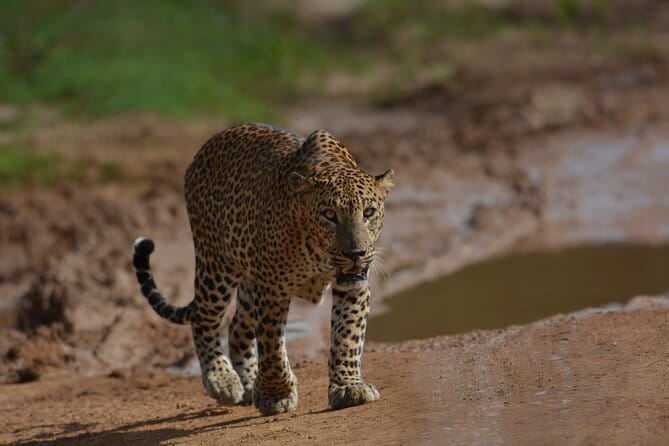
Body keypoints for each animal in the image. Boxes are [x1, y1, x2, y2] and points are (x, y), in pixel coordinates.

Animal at [132, 123, 393, 416]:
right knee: (203, 319)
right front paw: (275, 396)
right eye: (329, 215)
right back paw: (221, 380)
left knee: (237, 329)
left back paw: (248, 383)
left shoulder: (353, 287)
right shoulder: (273, 290)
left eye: (369, 212)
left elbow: (347, 337)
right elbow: (272, 347)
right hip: (217, 265)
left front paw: (349, 387)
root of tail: (207, 147)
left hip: (248, 283)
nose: (355, 253)